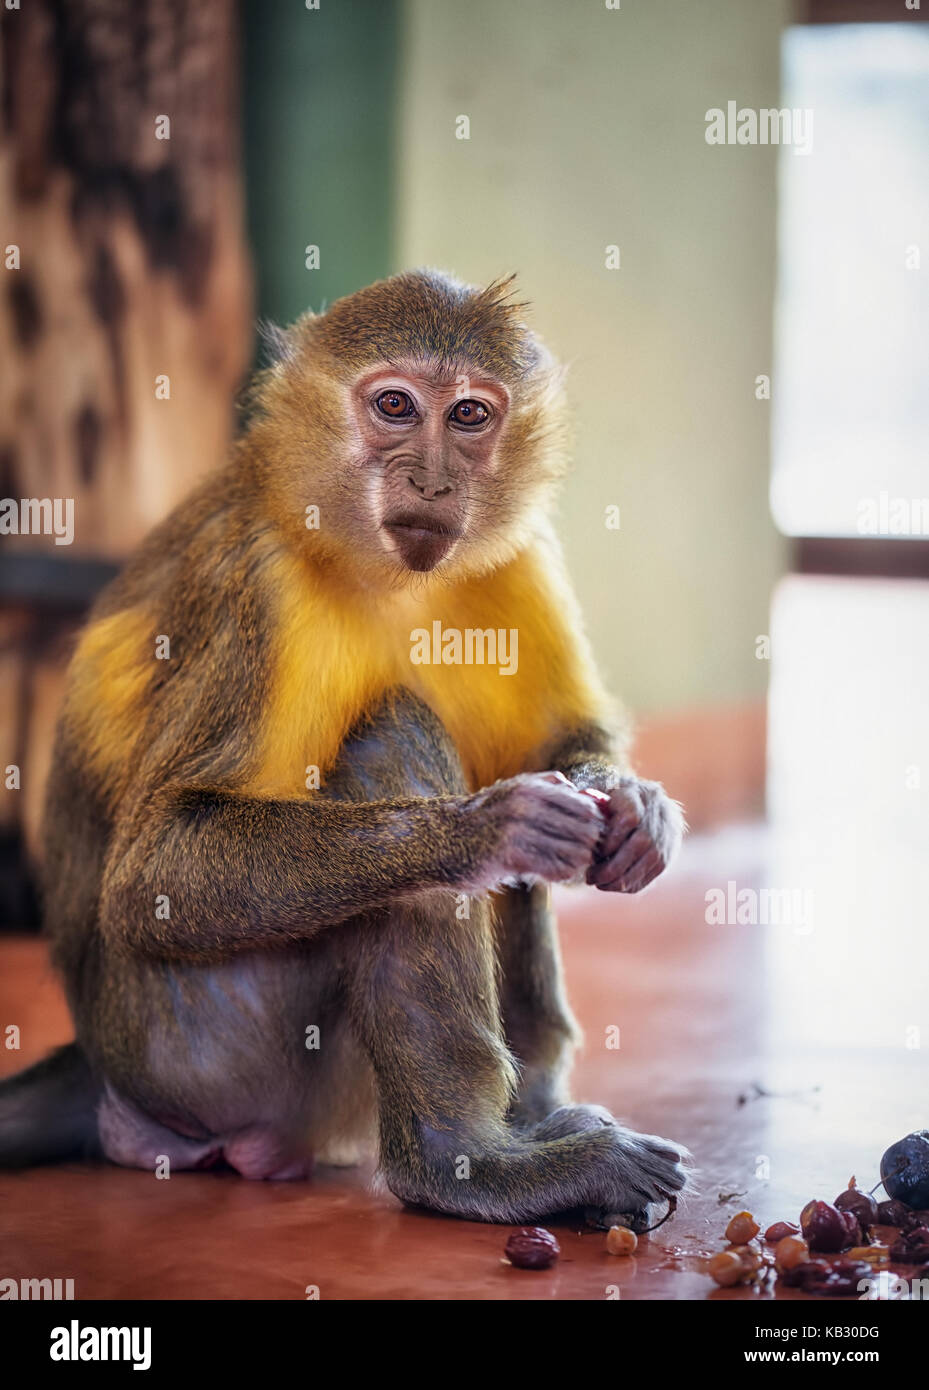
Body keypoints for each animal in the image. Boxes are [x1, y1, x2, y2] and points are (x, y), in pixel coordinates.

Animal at [0, 270, 689, 1226]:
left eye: (469, 416)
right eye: (395, 406)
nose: (431, 479)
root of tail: (104, 1072)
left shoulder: (520, 553)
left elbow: (558, 746)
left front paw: (634, 809)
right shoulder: (257, 585)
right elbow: (155, 875)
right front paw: (479, 830)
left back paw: (530, 1119)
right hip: (200, 1050)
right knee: (390, 737)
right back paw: (462, 1161)